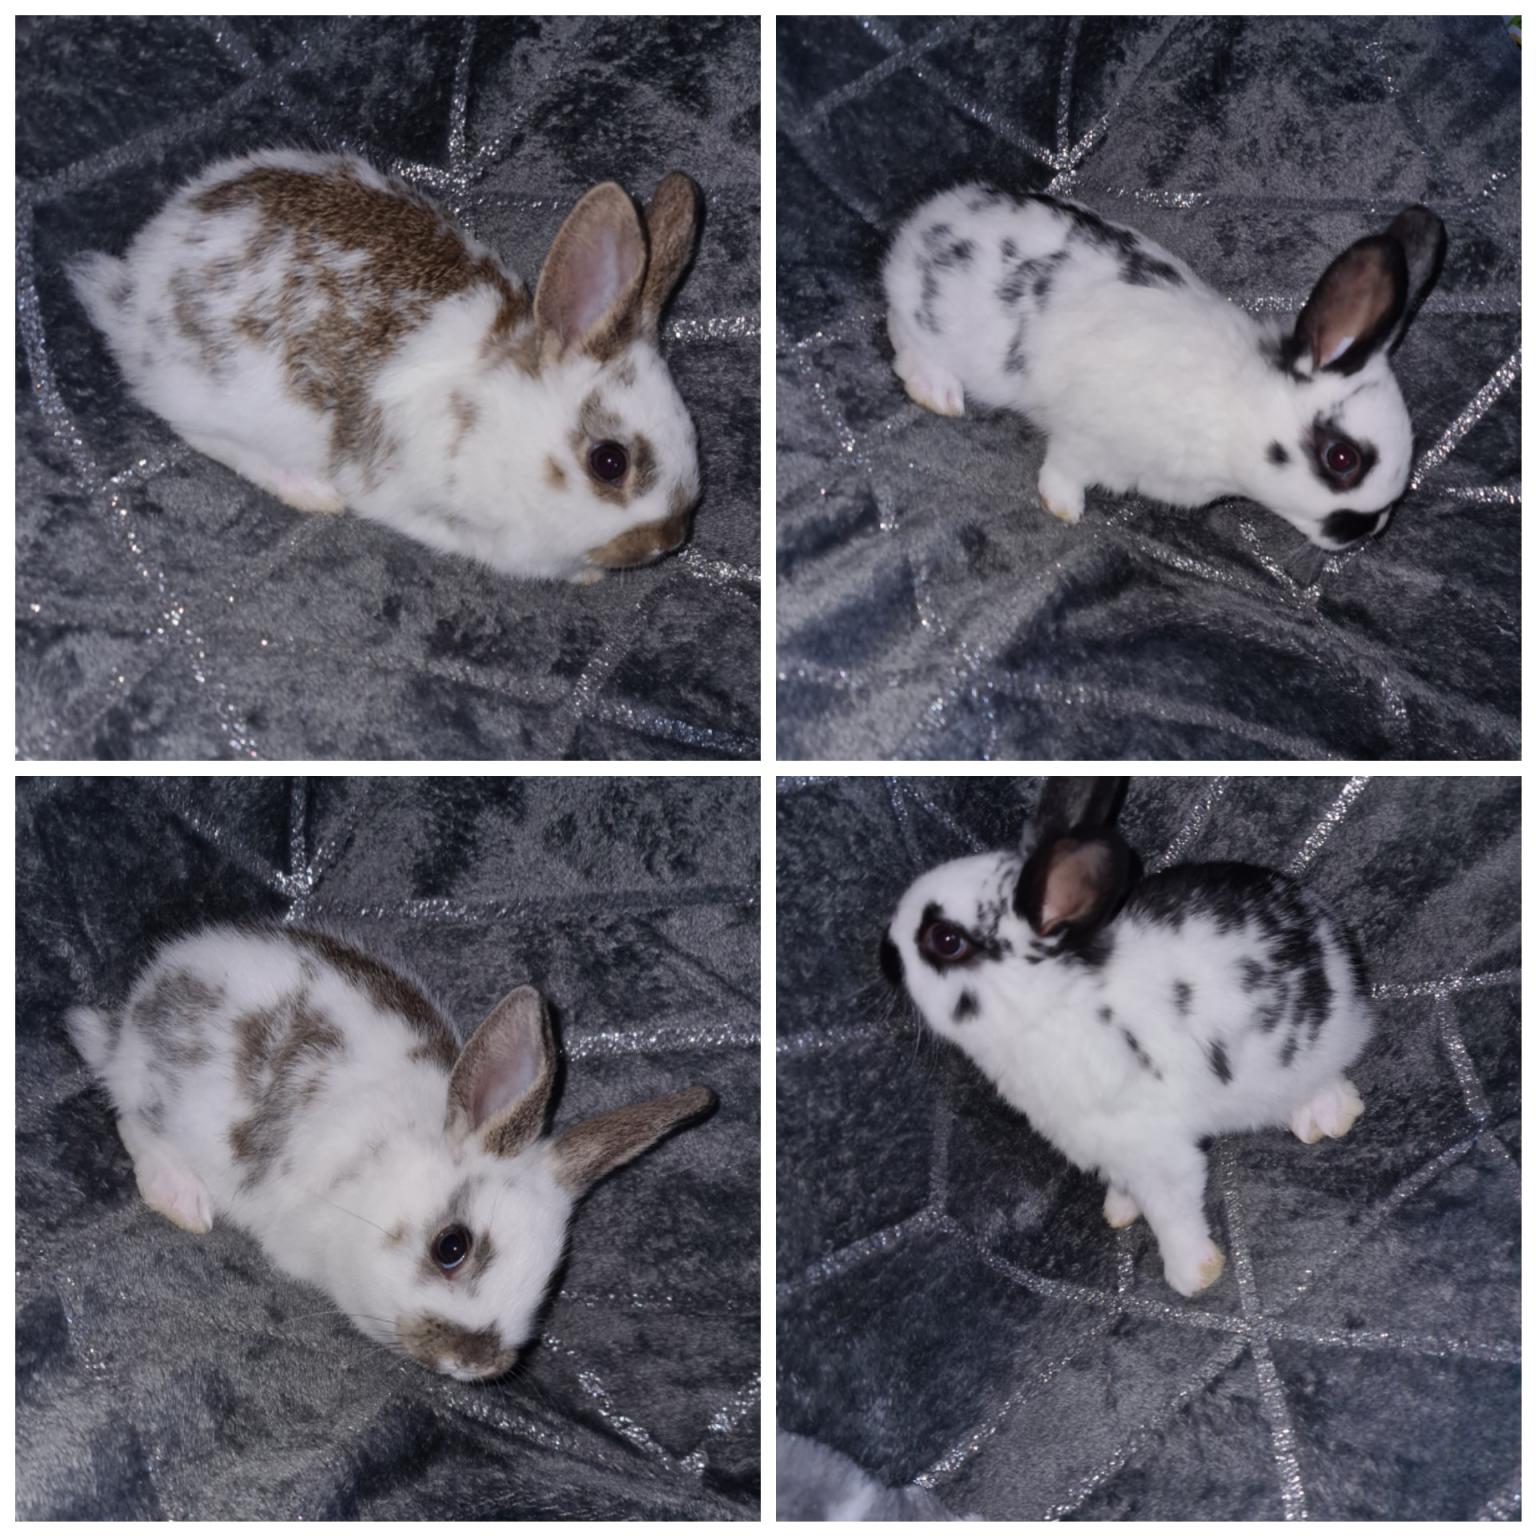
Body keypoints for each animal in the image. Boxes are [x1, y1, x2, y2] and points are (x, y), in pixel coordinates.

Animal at [65, 924, 716, 1379]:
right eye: (451, 1247)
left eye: (554, 1276)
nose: (475, 1363)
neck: (372, 1165)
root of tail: (135, 1011)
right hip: (163, 1101)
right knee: (128, 1119)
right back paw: (180, 1197)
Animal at [67, 149, 704, 584]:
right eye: (609, 462)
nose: (667, 542)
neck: (503, 421)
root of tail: (134, 287)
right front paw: (588, 573)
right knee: (200, 433)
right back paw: (311, 493)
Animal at [879, 778, 1372, 1297]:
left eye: (945, 940)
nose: (883, 957)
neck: (1049, 1005)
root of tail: (1335, 937)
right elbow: (1127, 1188)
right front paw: (1118, 1211)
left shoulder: (1155, 1148)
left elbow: (1173, 1213)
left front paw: (1193, 1276)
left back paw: (1327, 1116)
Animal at [883, 184, 1446, 551]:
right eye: (1342, 459)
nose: (1367, 530)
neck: (1234, 411)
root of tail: (925, 222)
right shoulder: (1086, 437)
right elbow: (1064, 468)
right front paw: (1065, 509)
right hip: (938, 329)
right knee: (903, 335)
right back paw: (938, 393)